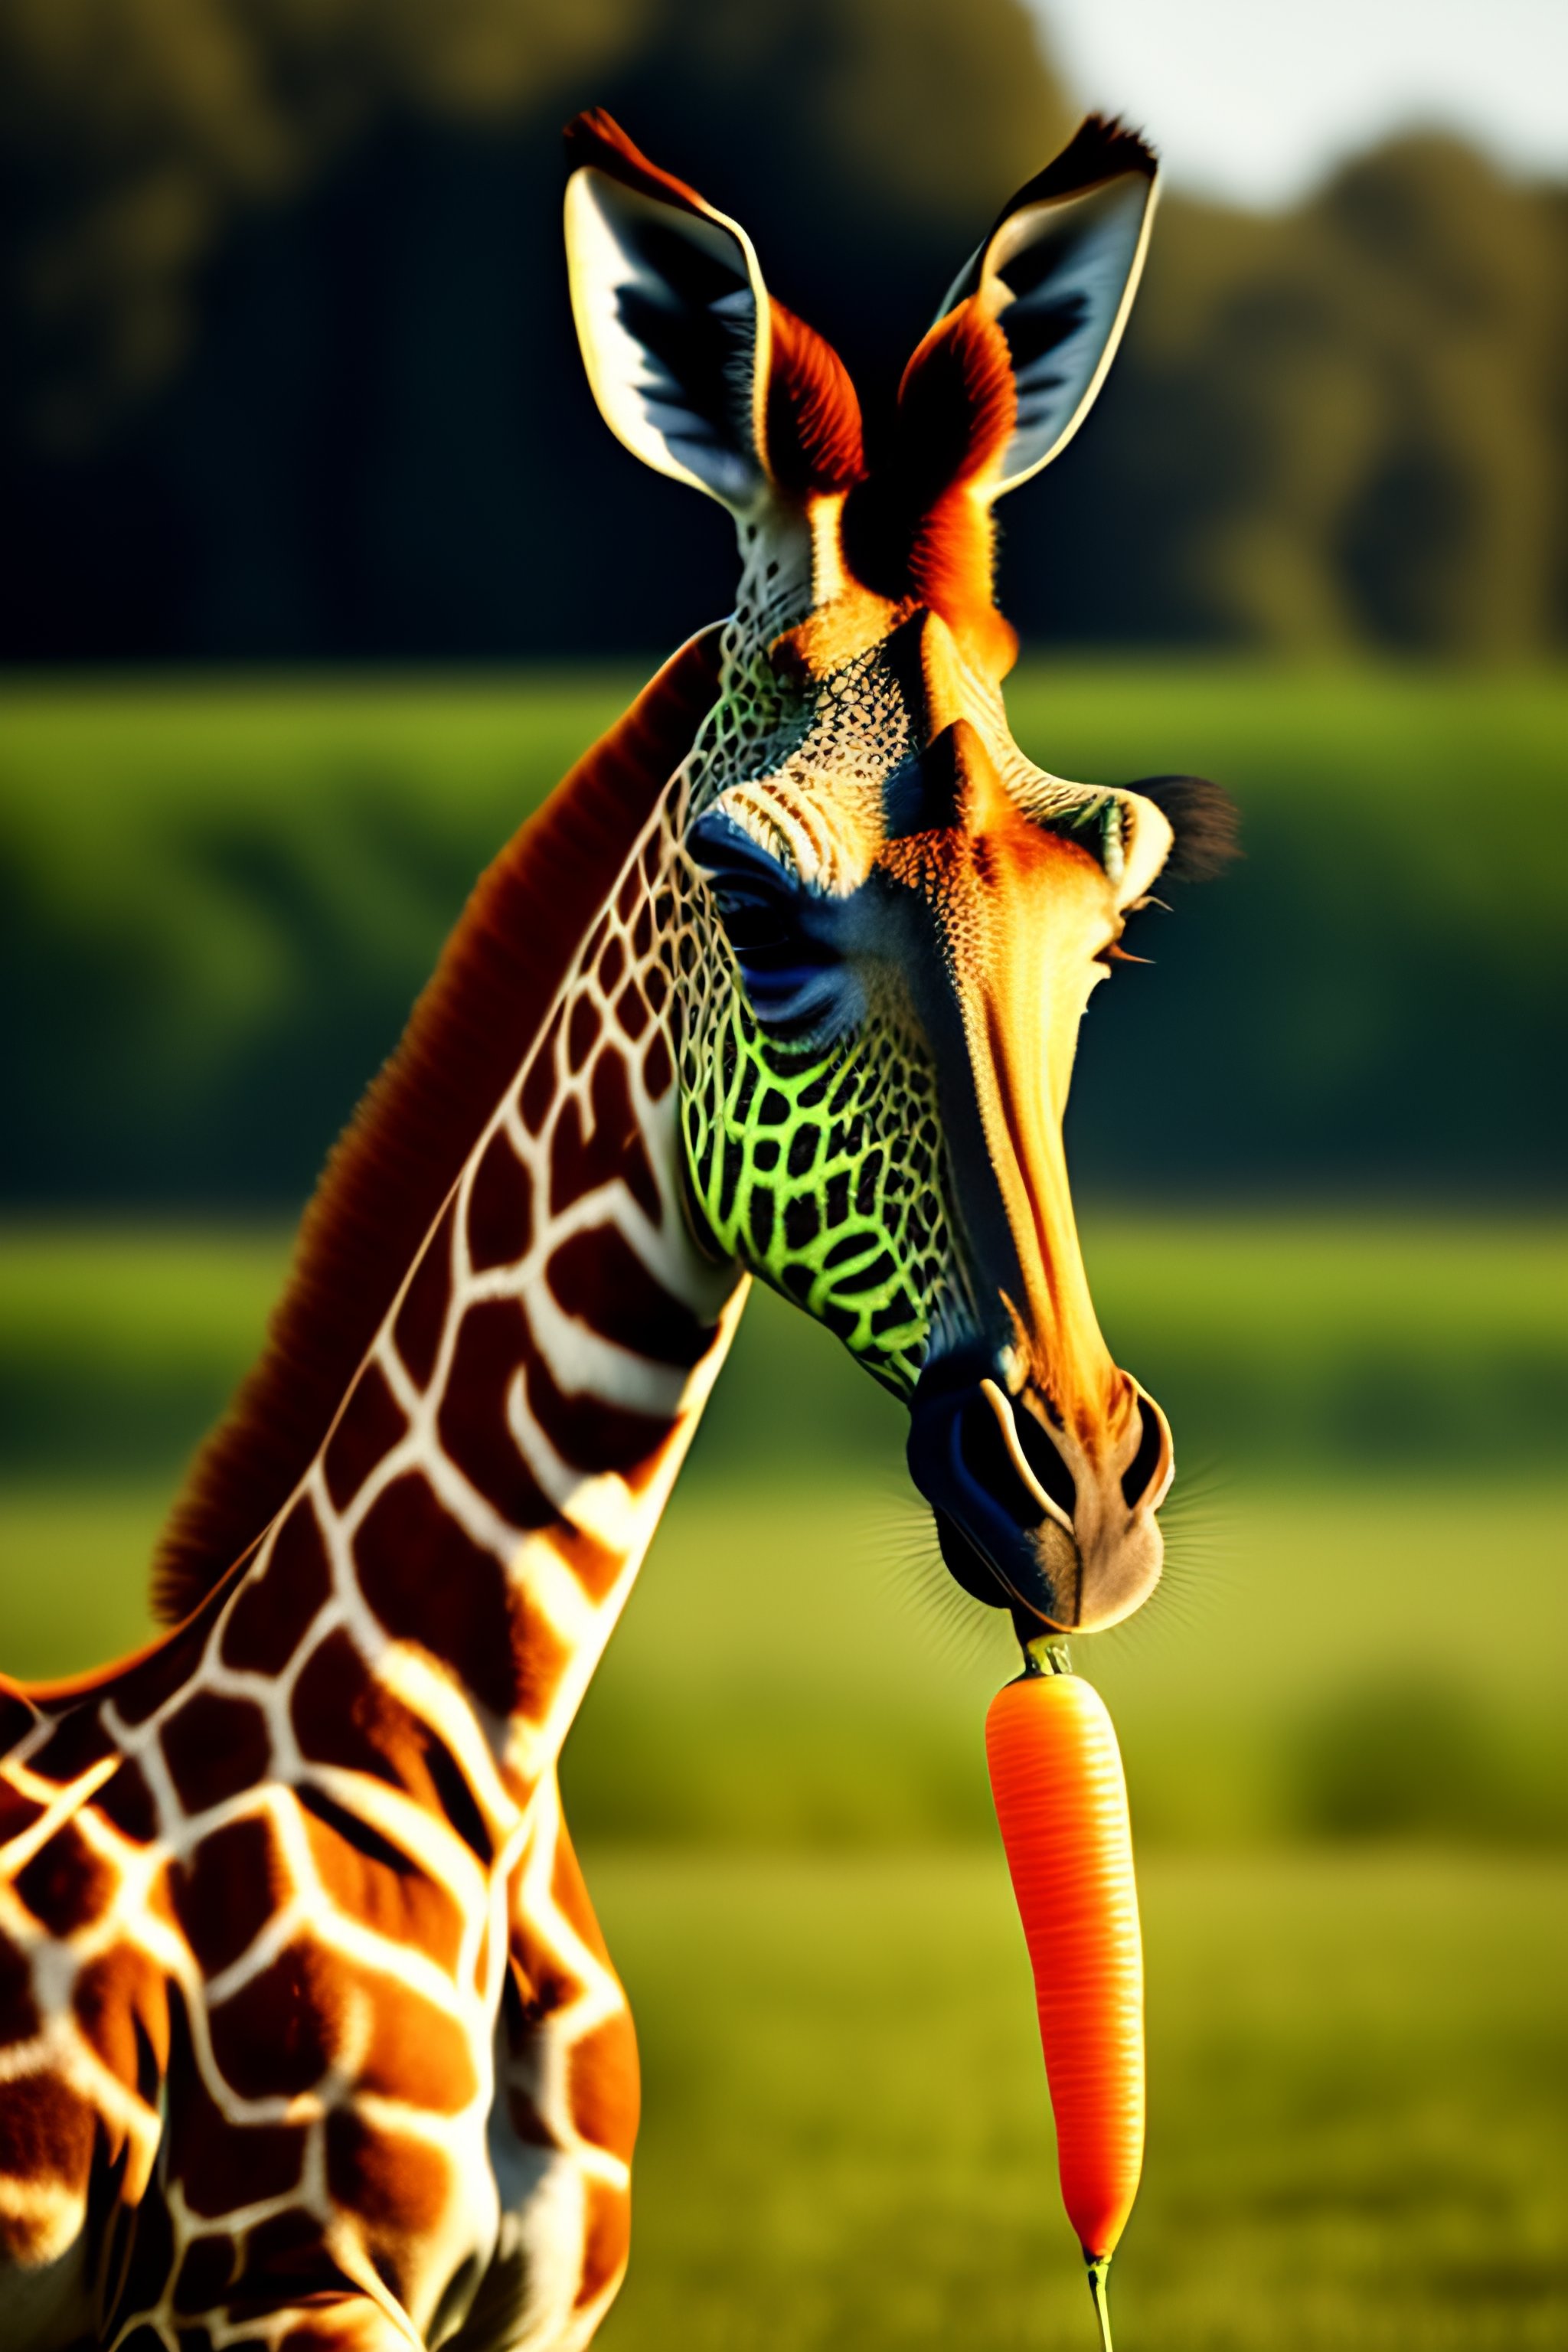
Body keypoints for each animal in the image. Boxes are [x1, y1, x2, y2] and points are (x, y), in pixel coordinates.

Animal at [0, 112, 1232, 2352]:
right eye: (745, 894)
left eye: (1114, 903)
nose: (1079, 1511)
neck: (468, 1772)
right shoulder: (267, 2295)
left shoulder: (539, 2308)